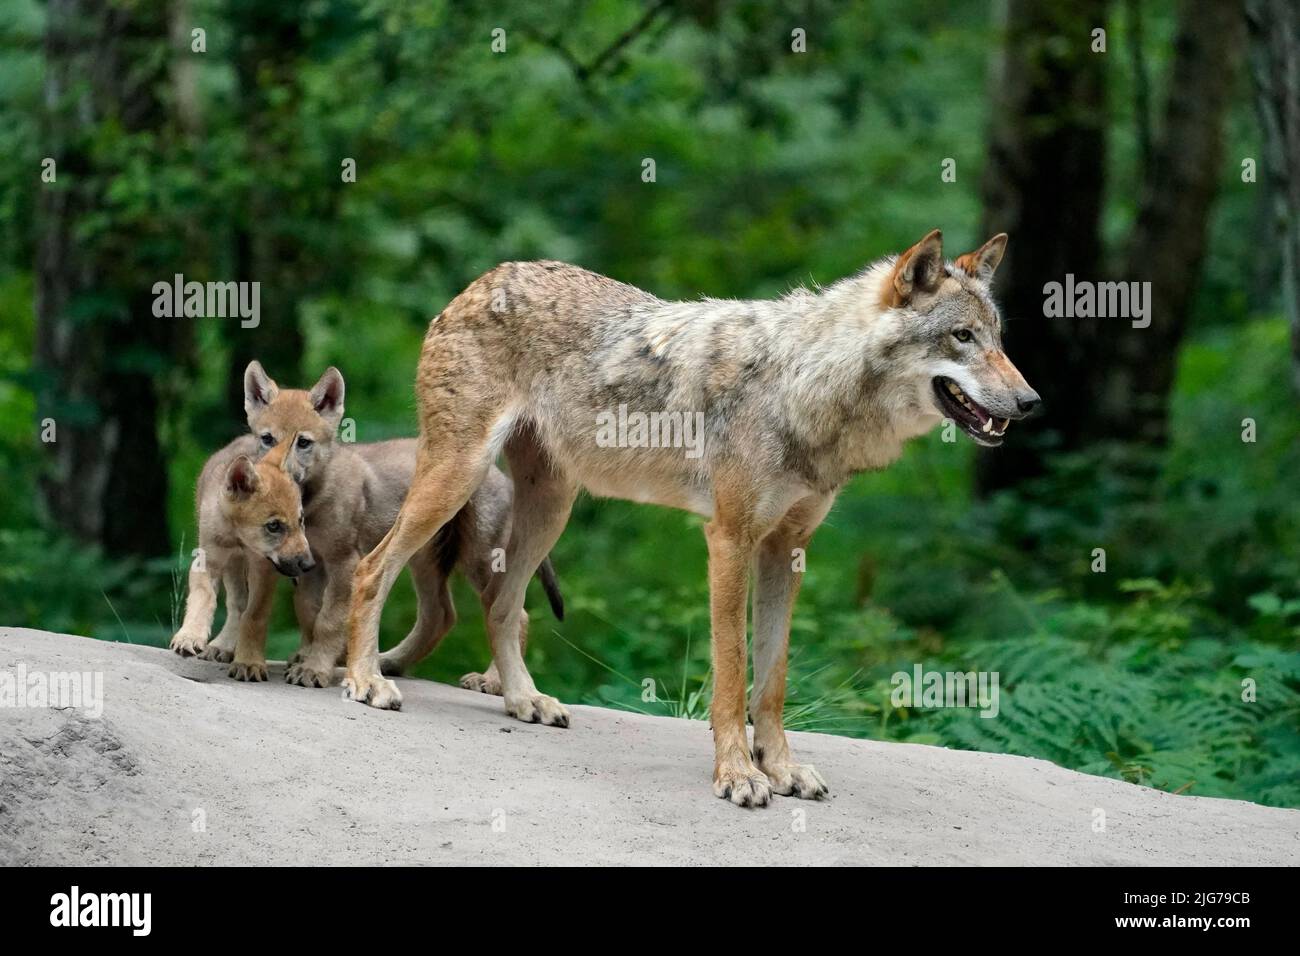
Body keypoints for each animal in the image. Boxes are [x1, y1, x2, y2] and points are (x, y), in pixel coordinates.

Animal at [169, 432, 314, 680]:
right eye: (274, 526)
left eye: (300, 520)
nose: (308, 564)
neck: (238, 539)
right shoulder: (207, 562)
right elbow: (204, 598)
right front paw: (190, 636)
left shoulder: (264, 571)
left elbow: (253, 616)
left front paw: (249, 662)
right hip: (233, 568)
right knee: (237, 603)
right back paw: (223, 645)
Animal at [194, 362, 564, 695]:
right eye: (268, 438)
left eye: (303, 442)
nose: (282, 471)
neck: (312, 501)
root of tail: (505, 478)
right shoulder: (312, 566)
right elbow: (311, 615)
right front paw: (318, 659)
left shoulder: (343, 562)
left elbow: (328, 621)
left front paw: (315, 668)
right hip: (422, 556)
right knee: (439, 615)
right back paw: (388, 663)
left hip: (479, 557)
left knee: (513, 613)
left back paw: (492, 681)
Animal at [342, 229, 1038, 806]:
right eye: (962, 338)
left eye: (1000, 339)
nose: (1032, 401)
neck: (806, 386)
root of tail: (485, 278)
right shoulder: (729, 540)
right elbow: (733, 674)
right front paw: (739, 776)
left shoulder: (788, 550)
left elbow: (772, 681)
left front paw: (782, 770)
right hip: (455, 480)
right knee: (373, 570)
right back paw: (366, 681)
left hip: (550, 507)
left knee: (502, 605)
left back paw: (523, 700)